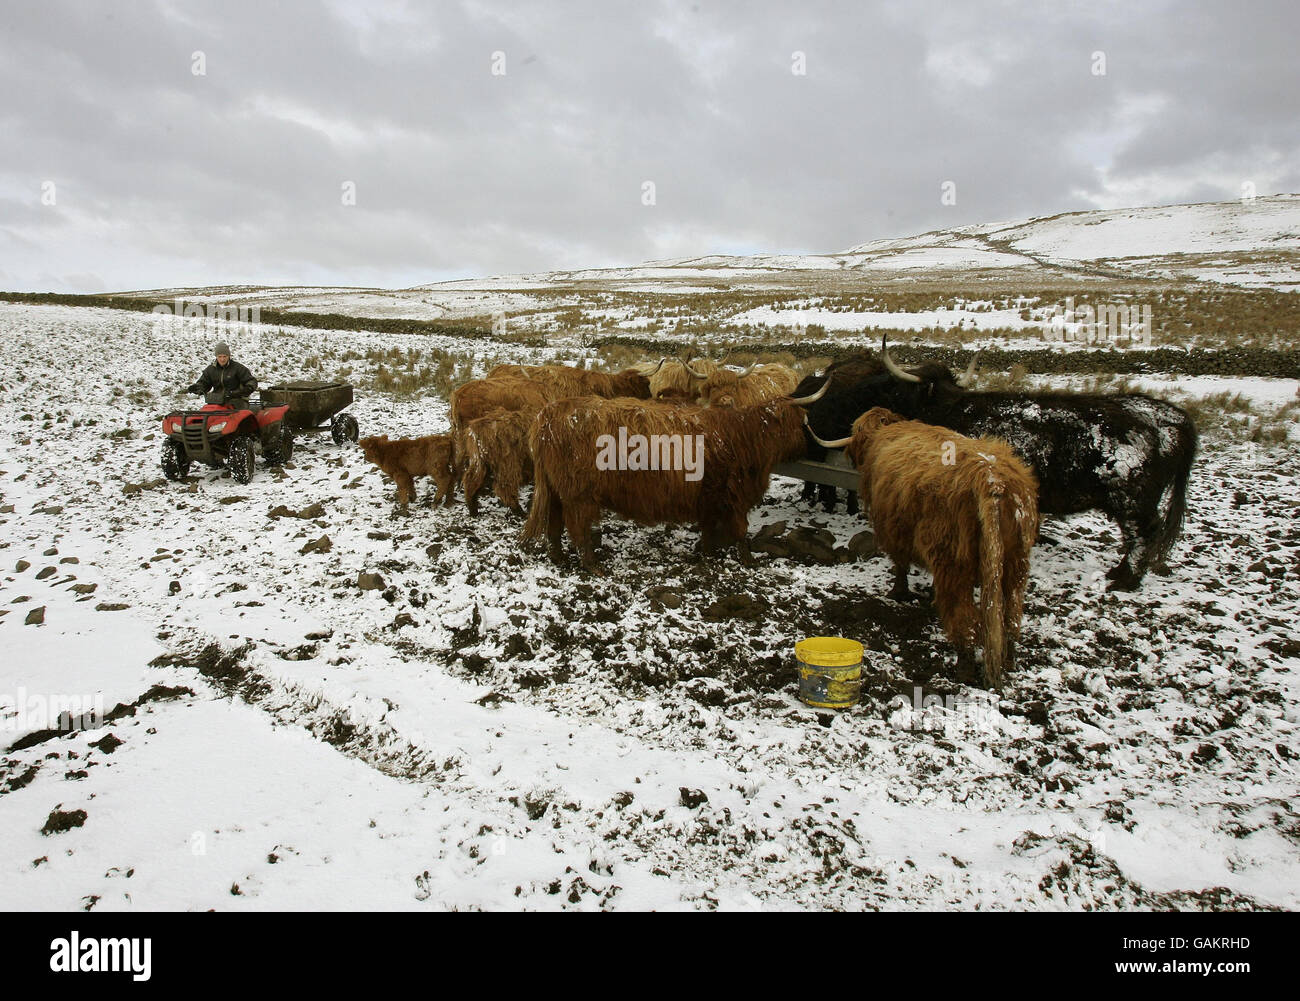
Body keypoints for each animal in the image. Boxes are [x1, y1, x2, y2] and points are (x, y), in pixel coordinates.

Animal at [521, 383, 829, 572]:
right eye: (802, 421)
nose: (815, 448)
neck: (745, 436)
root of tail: (548, 414)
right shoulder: (734, 493)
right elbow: (740, 530)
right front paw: (748, 560)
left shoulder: (710, 495)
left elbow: (708, 527)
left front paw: (707, 554)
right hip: (578, 492)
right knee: (577, 526)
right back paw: (592, 565)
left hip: (557, 487)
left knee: (554, 522)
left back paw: (558, 557)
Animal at [803, 337, 1197, 590]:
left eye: (894, 389)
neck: (947, 410)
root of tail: (1172, 416)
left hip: (1131, 500)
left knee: (1142, 535)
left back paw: (1122, 579)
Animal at [810, 408, 1039, 689]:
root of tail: (989, 478)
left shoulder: (891, 529)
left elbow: (900, 563)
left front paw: (898, 592)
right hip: (1017, 560)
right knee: (1011, 614)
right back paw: (1009, 659)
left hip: (954, 561)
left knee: (963, 617)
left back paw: (964, 668)